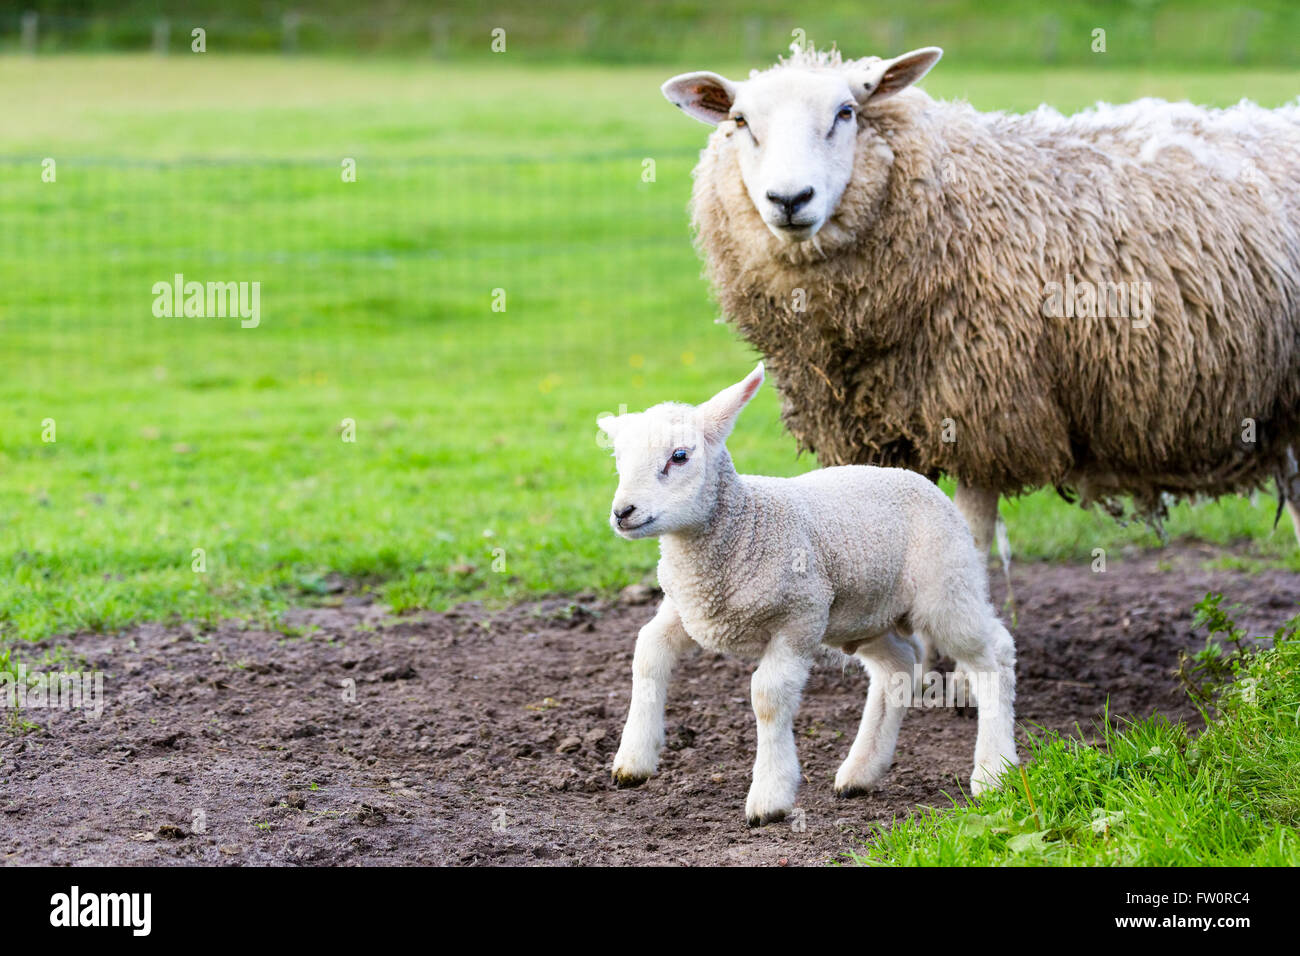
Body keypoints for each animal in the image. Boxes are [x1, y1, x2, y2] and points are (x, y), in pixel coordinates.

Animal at [596, 363, 1018, 825]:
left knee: (994, 655)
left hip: (946, 588)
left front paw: (769, 797)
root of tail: (919, 481)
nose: (622, 513)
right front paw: (633, 760)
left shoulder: (799, 619)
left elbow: (768, 696)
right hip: (864, 614)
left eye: (679, 456)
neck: (744, 527)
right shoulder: (687, 610)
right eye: (618, 460)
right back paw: (860, 772)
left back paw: (994, 772)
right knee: (898, 667)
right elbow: (647, 652)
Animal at [661, 44, 1300, 556]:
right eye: (740, 120)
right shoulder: (870, 432)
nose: (790, 199)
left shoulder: (983, 416)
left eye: (846, 113)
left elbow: (965, 548)